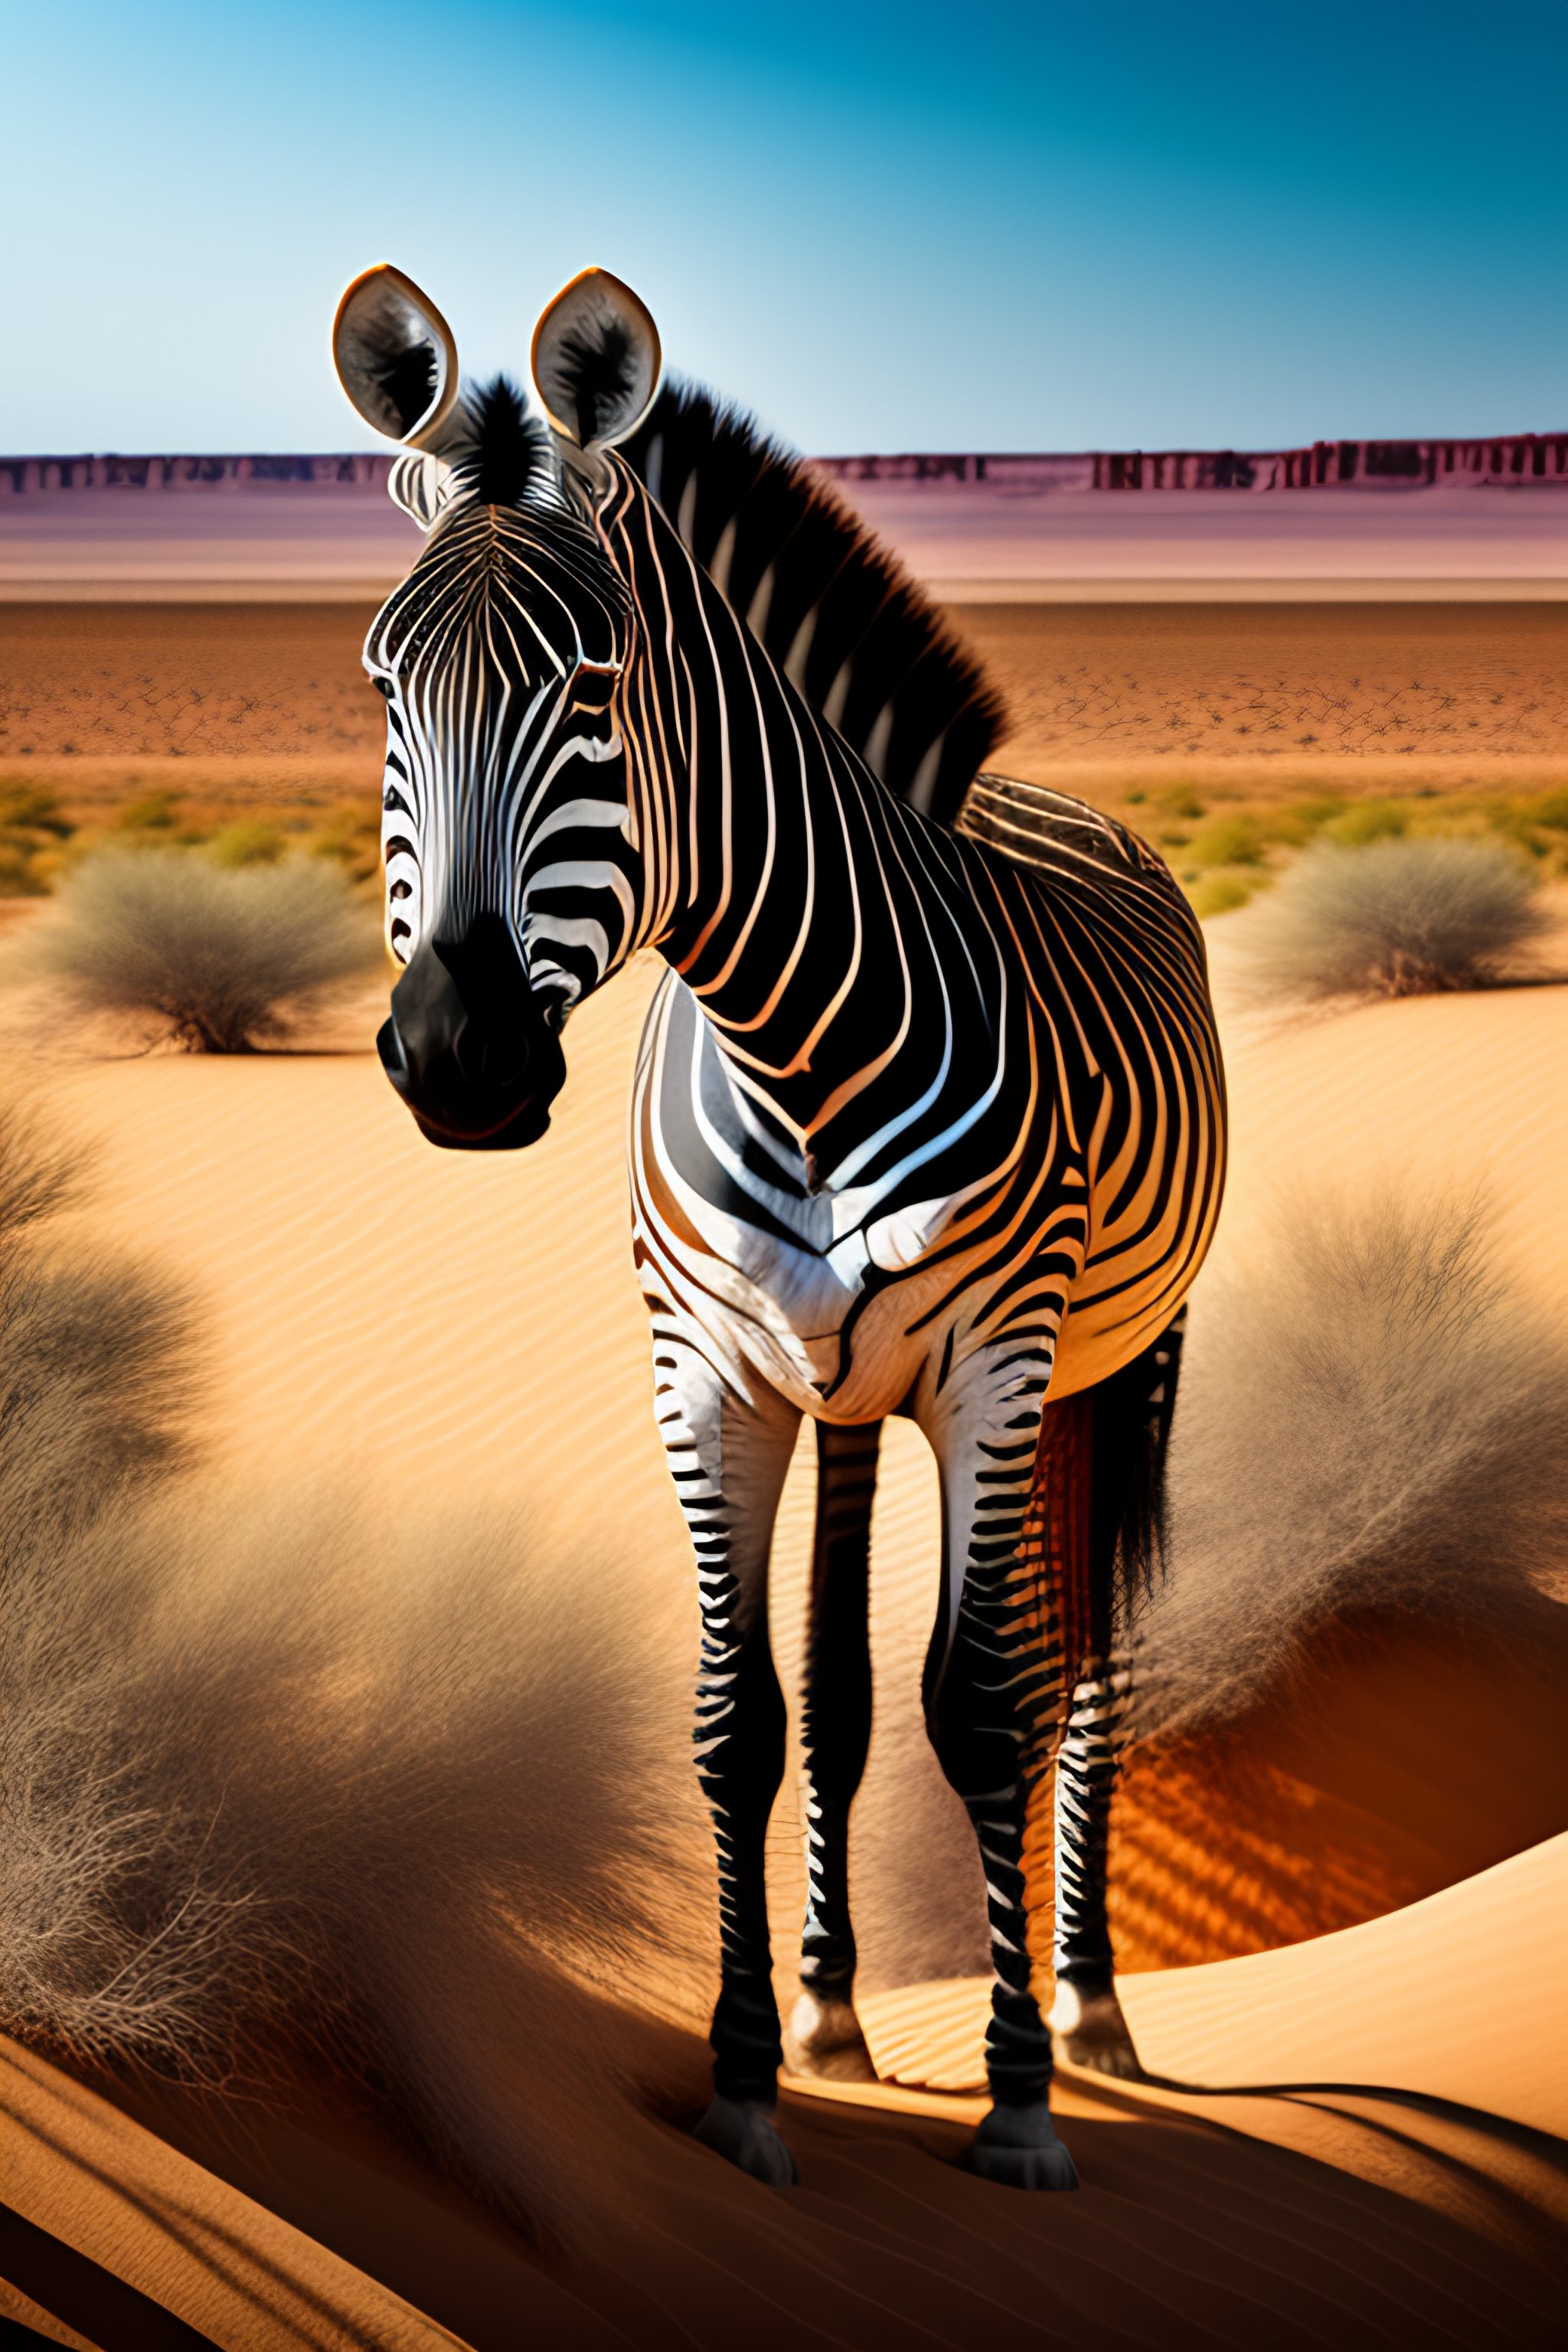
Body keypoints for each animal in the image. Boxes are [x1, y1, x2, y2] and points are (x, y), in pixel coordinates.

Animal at [331, 261, 1225, 2193]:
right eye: (380, 683)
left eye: (593, 676)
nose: (455, 1057)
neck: (794, 1040)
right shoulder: (708, 1366)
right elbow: (746, 1713)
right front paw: (749, 2075)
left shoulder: (998, 1361)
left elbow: (985, 1700)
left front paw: (1018, 2097)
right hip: (849, 1399)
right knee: (843, 1672)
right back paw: (831, 2007)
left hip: (1119, 1362)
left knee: (1084, 1662)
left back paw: (1090, 2006)